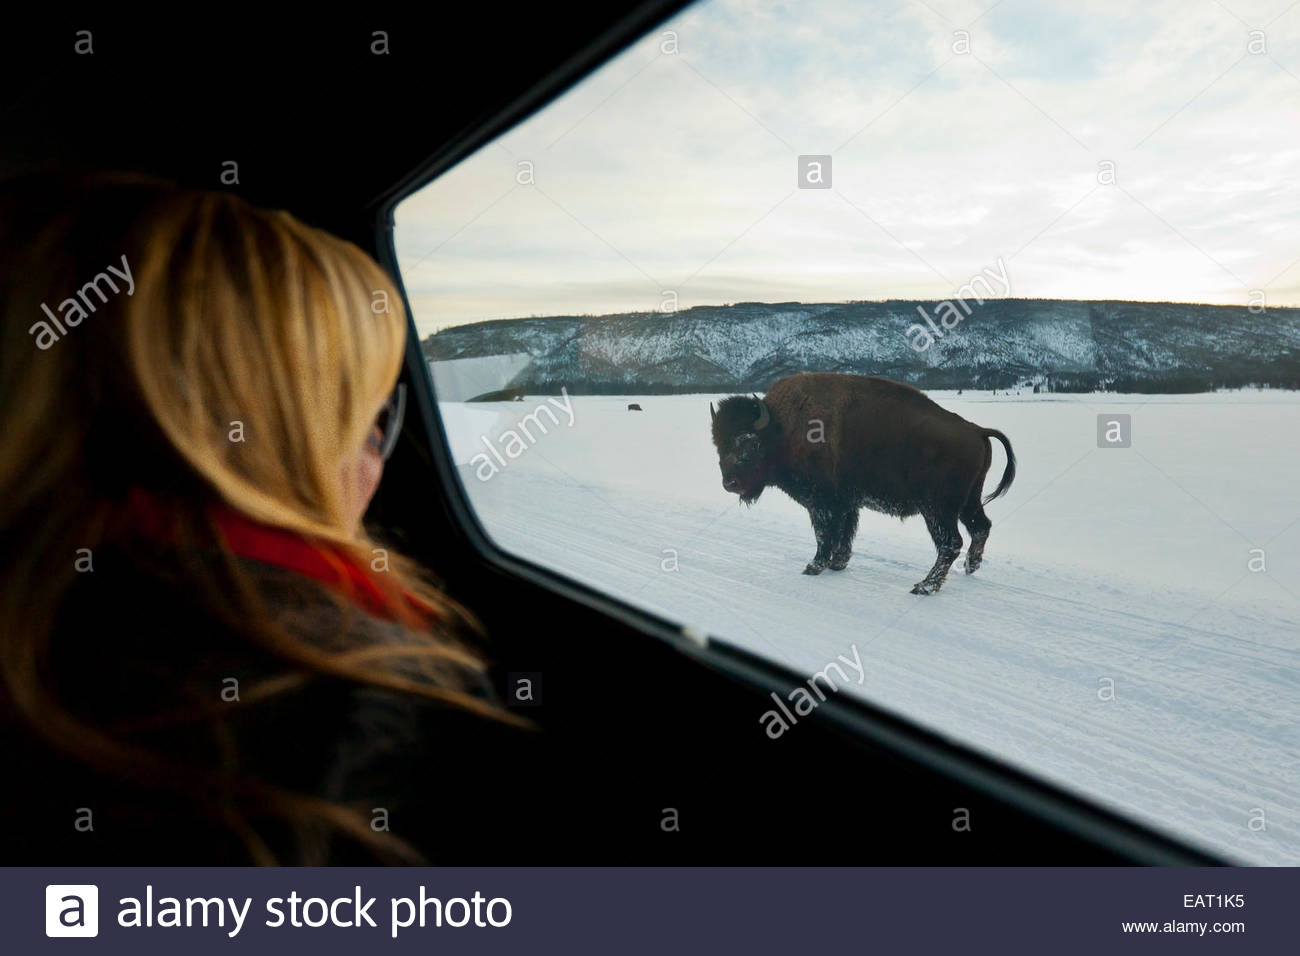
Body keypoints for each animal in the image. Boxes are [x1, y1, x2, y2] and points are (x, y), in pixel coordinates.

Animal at [710, 372, 1016, 595]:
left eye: (750, 443)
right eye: (718, 443)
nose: (730, 483)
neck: (782, 428)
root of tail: (976, 430)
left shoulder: (821, 503)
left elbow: (825, 534)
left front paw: (813, 566)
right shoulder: (846, 502)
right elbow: (844, 534)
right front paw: (837, 564)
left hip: (937, 508)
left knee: (951, 542)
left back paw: (923, 587)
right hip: (968, 501)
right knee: (981, 527)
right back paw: (970, 567)